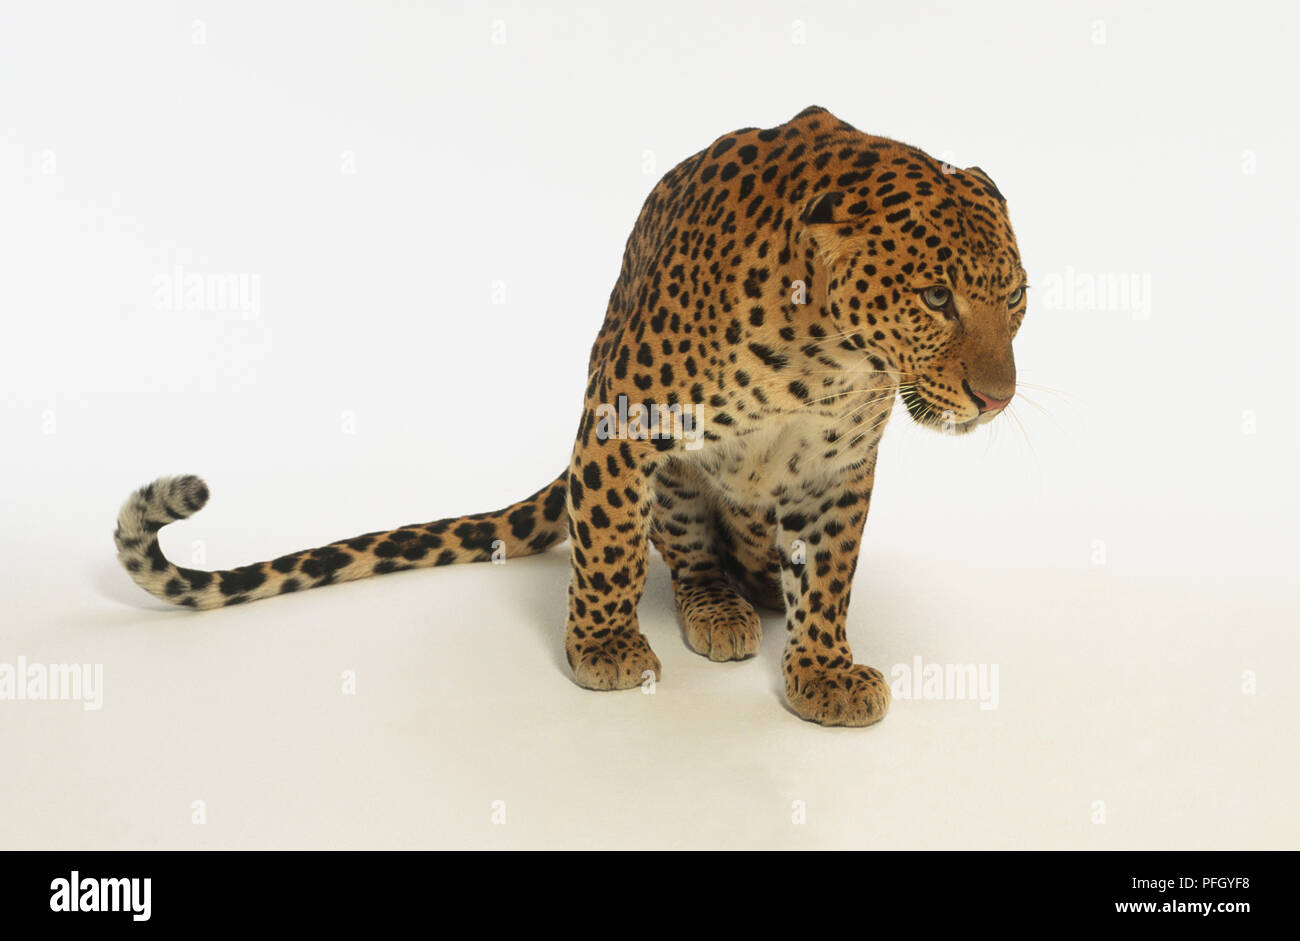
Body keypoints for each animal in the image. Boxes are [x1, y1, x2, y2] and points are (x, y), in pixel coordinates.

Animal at [114, 105, 1027, 727]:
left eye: (1014, 296)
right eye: (935, 298)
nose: (998, 397)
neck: (830, 360)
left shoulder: (838, 470)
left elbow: (829, 575)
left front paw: (825, 670)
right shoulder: (624, 421)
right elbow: (613, 547)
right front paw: (604, 649)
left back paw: (764, 587)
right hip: (678, 483)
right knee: (682, 553)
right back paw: (719, 606)